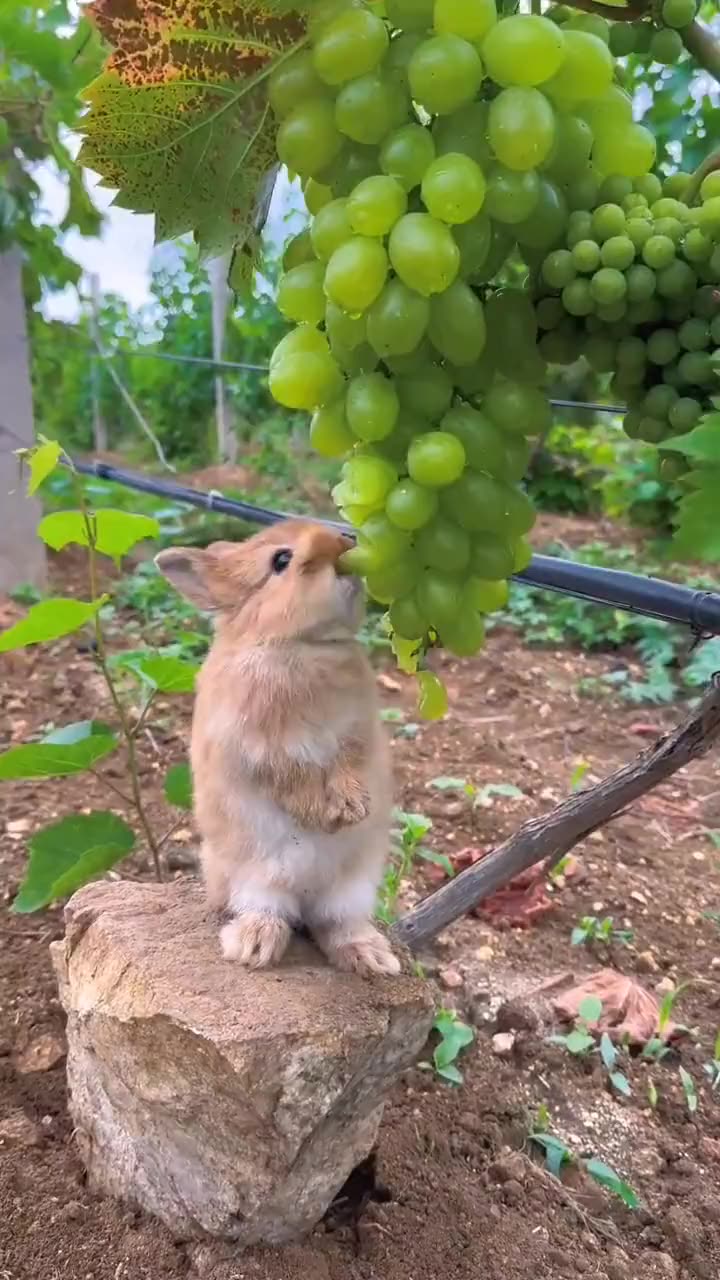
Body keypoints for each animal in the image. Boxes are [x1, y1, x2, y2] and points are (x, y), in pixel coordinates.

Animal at [155, 519, 400, 977]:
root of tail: (305, 897)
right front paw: (326, 813)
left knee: (335, 924)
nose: (346, 541)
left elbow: (348, 762)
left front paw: (353, 807)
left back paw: (372, 958)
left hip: (354, 886)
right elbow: (291, 776)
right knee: (271, 913)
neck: (298, 645)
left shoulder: (356, 731)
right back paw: (252, 947)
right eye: (281, 560)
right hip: (254, 878)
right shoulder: (259, 747)